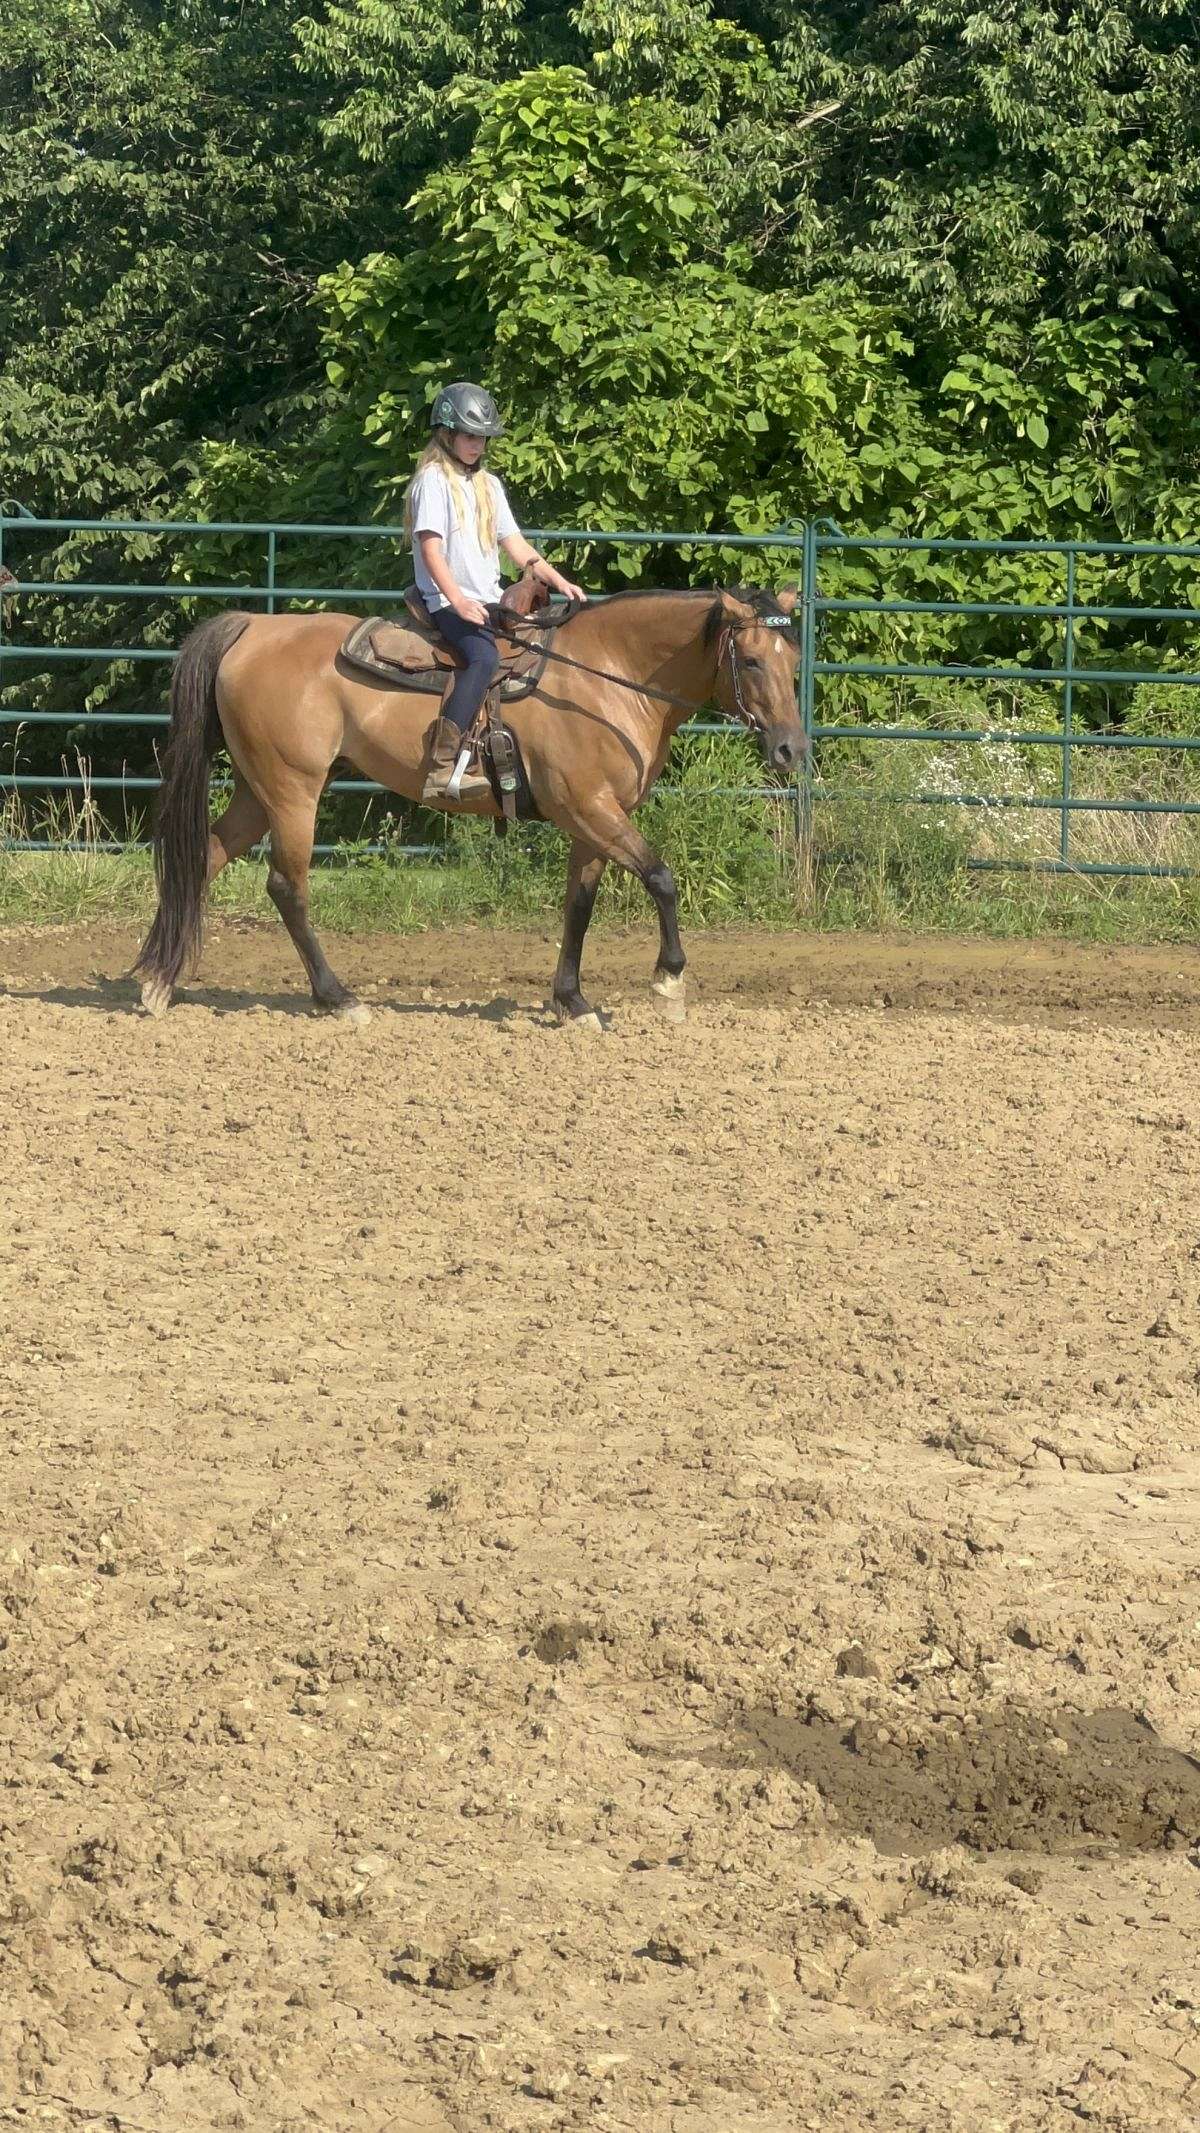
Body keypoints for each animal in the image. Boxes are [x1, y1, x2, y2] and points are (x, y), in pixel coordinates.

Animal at [134, 586, 806, 1029]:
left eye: (793, 662)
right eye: (750, 660)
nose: (791, 750)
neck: (603, 678)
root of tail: (254, 626)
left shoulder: (592, 819)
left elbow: (579, 906)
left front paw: (572, 1002)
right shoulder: (590, 808)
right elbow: (661, 878)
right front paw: (669, 981)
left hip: (258, 791)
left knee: (204, 859)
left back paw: (159, 981)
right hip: (293, 789)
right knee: (286, 885)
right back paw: (339, 999)